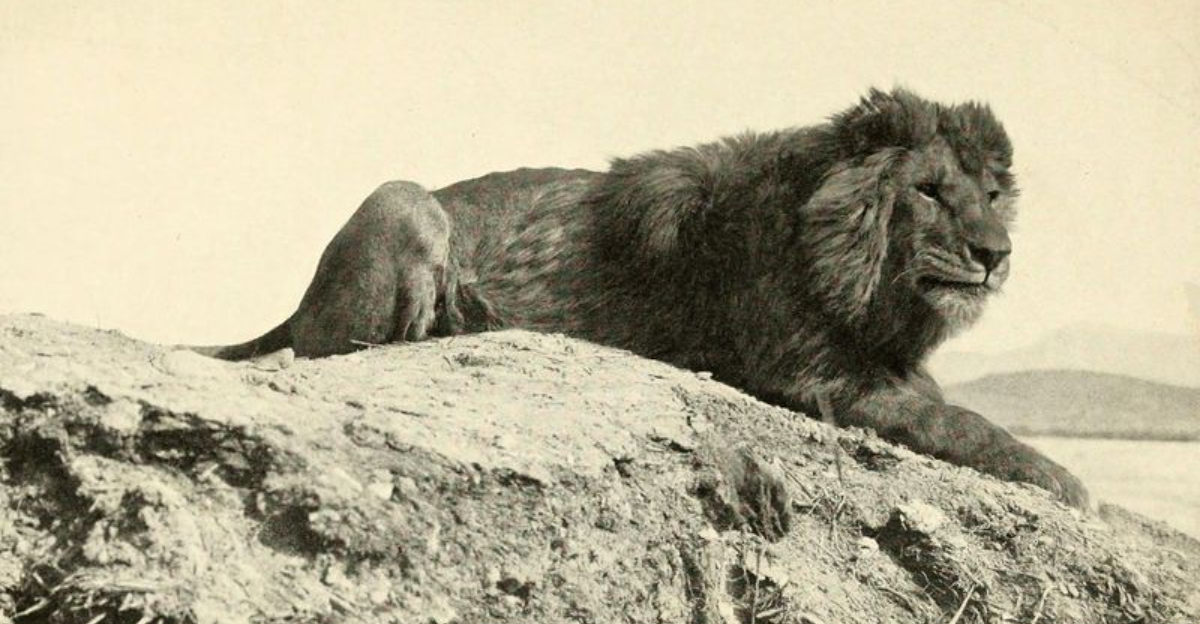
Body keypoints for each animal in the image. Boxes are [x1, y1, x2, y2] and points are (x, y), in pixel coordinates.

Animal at [195, 88, 1089, 508]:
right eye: (931, 192)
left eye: (994, 194)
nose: (995, 256)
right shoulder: (813, 378)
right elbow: (962, 424)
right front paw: (1066, 481)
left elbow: (952, 408)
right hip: (403, 199)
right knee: (334, 344)